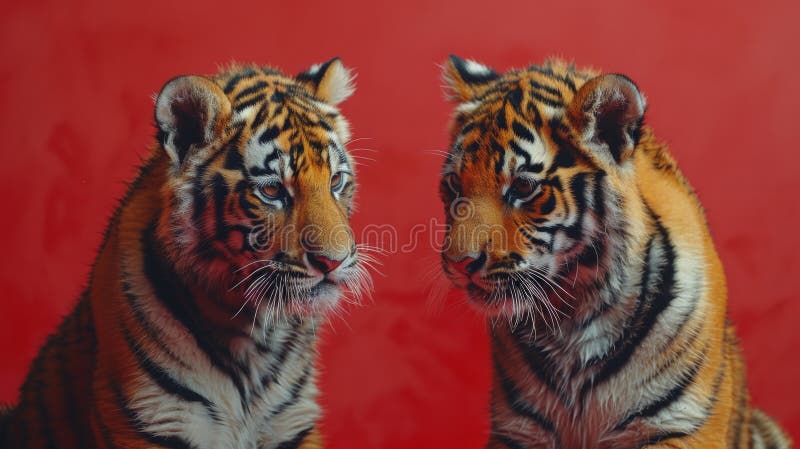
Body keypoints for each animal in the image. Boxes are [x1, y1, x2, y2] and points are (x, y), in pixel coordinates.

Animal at [0, 57, 373, 448]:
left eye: (335, 181)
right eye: (272, 190)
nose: (333, 262)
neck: (256, 337)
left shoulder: (291, 424)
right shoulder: (157, 418)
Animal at [438, 55, 792, 449]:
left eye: (523, 187)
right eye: (453, 184)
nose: (460, 264)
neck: (572, 313)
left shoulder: (678, 425)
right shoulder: (518, 430)